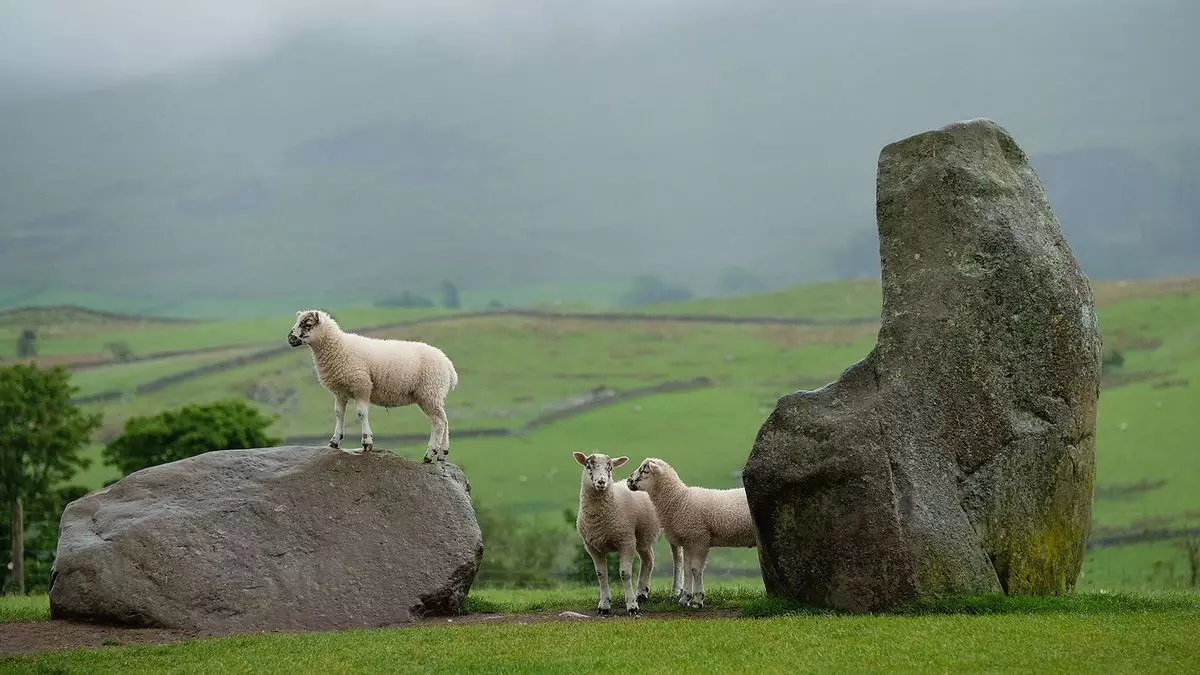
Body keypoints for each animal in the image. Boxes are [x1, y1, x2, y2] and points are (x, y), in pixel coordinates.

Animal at [285, 309, 458, 461]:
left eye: (307, 324)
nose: (290, 338)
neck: (338, 347)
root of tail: (448, 365)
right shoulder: (340, 391)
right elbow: (339, 413)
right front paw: (335, 440)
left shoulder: (362, 386)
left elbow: (362, 413)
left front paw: (367, 442)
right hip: (433, 395)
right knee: (444, 420)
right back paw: (442, 453)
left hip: (429, 392)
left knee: (438, 423)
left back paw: (430, 454)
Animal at [568, 449, 676, 612]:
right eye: (589, 466)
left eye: (610, 468)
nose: (601, 482)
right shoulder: (592, 546)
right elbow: (601, 574)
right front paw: (604, 604)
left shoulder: (626, 541)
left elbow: (625, 574)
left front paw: (631, 605)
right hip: (642, 537)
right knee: (648, 559)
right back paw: (642, 593)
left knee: (678, 559)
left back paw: (676, 592)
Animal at [624, 454, 753, 607]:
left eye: (644, 471)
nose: (628, 481)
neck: (679, 500)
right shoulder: (688, 542)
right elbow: (686, 570)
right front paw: (685, 598)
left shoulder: (699, 540)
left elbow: (696, 569)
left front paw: (698, 599)